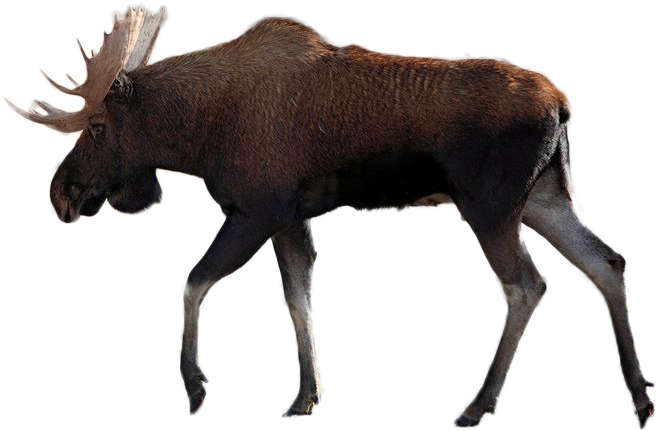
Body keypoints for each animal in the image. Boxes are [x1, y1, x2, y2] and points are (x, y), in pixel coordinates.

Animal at [4, 4, 653, 429]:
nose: (61, 195)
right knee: (607, 261)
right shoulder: (292, 219)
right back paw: (641, 397)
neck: (194, 134)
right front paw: (305, 394)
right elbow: (299, 297)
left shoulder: (254, 210)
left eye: (97, 127)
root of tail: (563, 102)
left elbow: (193, 283)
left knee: (527, 284)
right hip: (546, 197)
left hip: (489, 206)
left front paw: (195, 387)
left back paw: (477, 405)